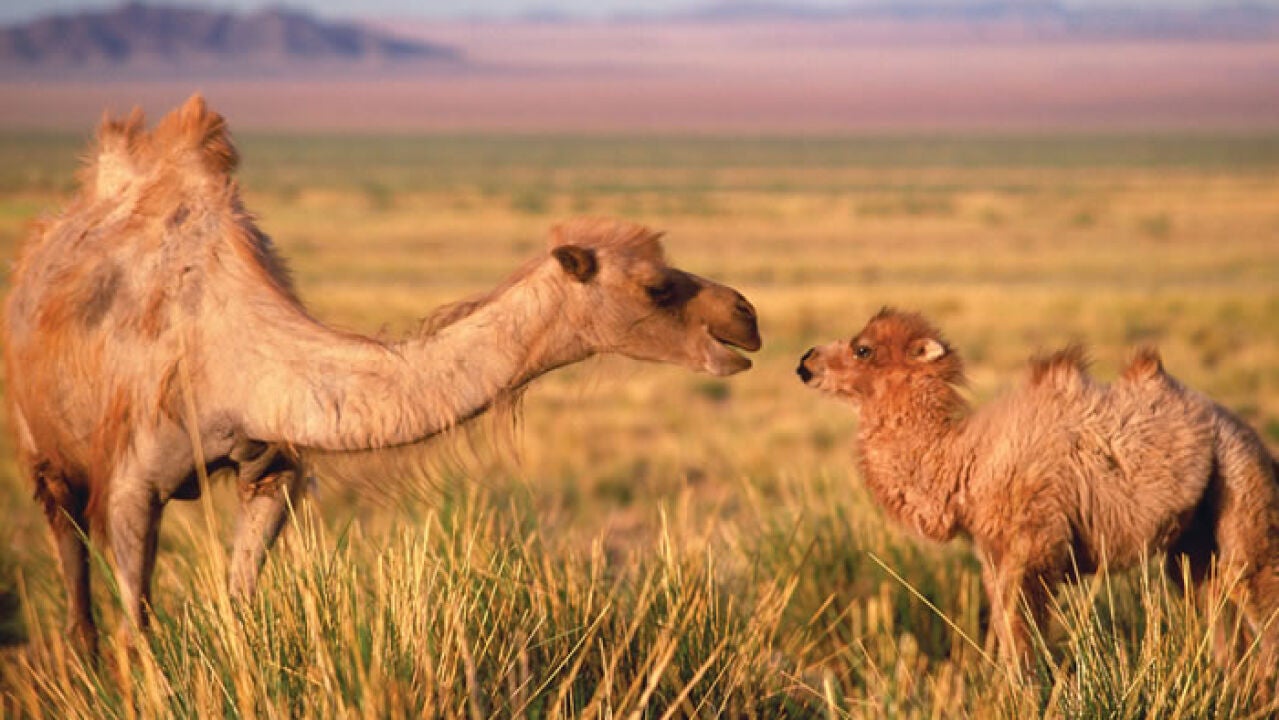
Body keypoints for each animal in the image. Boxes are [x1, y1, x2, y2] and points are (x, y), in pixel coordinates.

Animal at [1, 95, 760, 656]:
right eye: (657, 286)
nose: (745, 317)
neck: (232, 356)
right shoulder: (133, 484)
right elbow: (139, 631)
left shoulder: (272, 467)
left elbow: (240, 604)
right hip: (46, 452)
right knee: (74, 583)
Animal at [797, 308, 1279, 679]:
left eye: (862, 348)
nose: (806, 361)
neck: (965, 460)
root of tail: (1245, 431)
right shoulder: (993, 556)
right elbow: (1007, 635)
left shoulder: (1033, 549)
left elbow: (1022, 643)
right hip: (1193, 545)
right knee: (1221, 617)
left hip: (1241, 489)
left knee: (1259, 598)